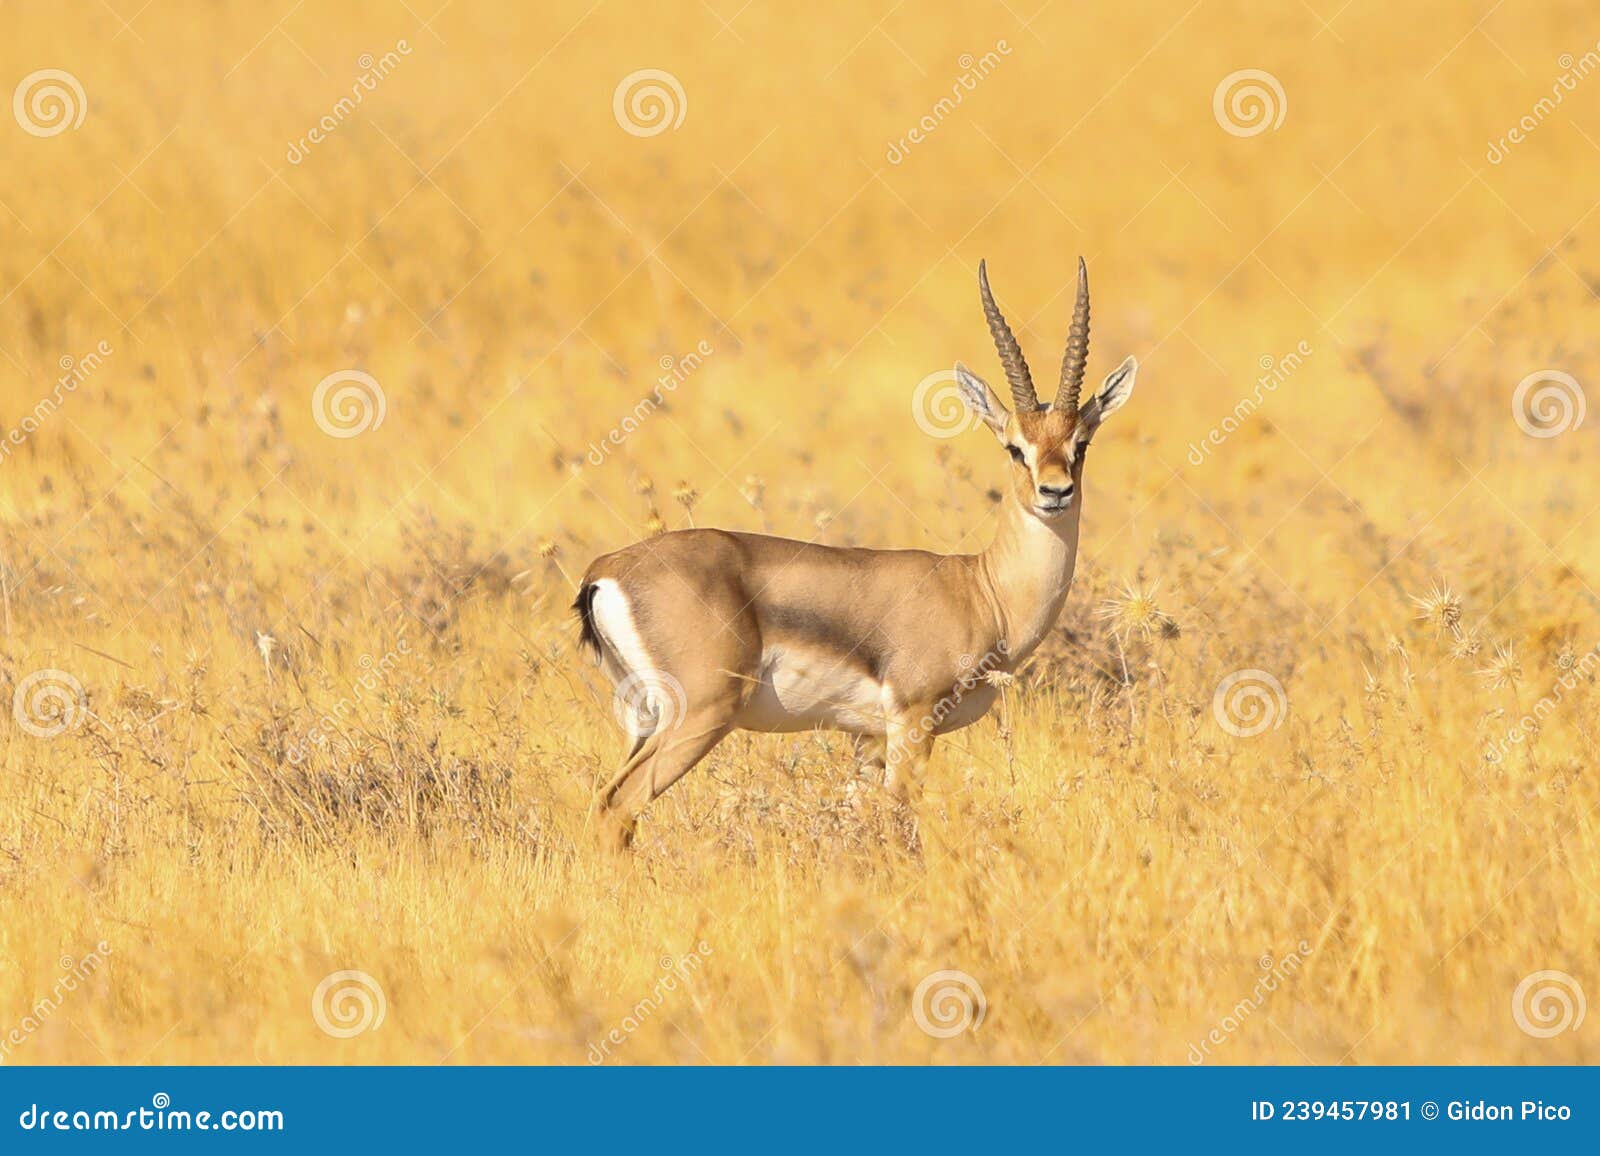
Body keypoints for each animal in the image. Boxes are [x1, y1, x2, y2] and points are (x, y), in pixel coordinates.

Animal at [574, 260, 1137, 848]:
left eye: (1080, 444)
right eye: (1014, 448)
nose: (1055, 492)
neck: (983, 591)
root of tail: (605, 571)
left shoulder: (866, 739)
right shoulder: (913, 720)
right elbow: (905, 820)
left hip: (642, 718)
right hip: (699, 714)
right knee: (616, 804)